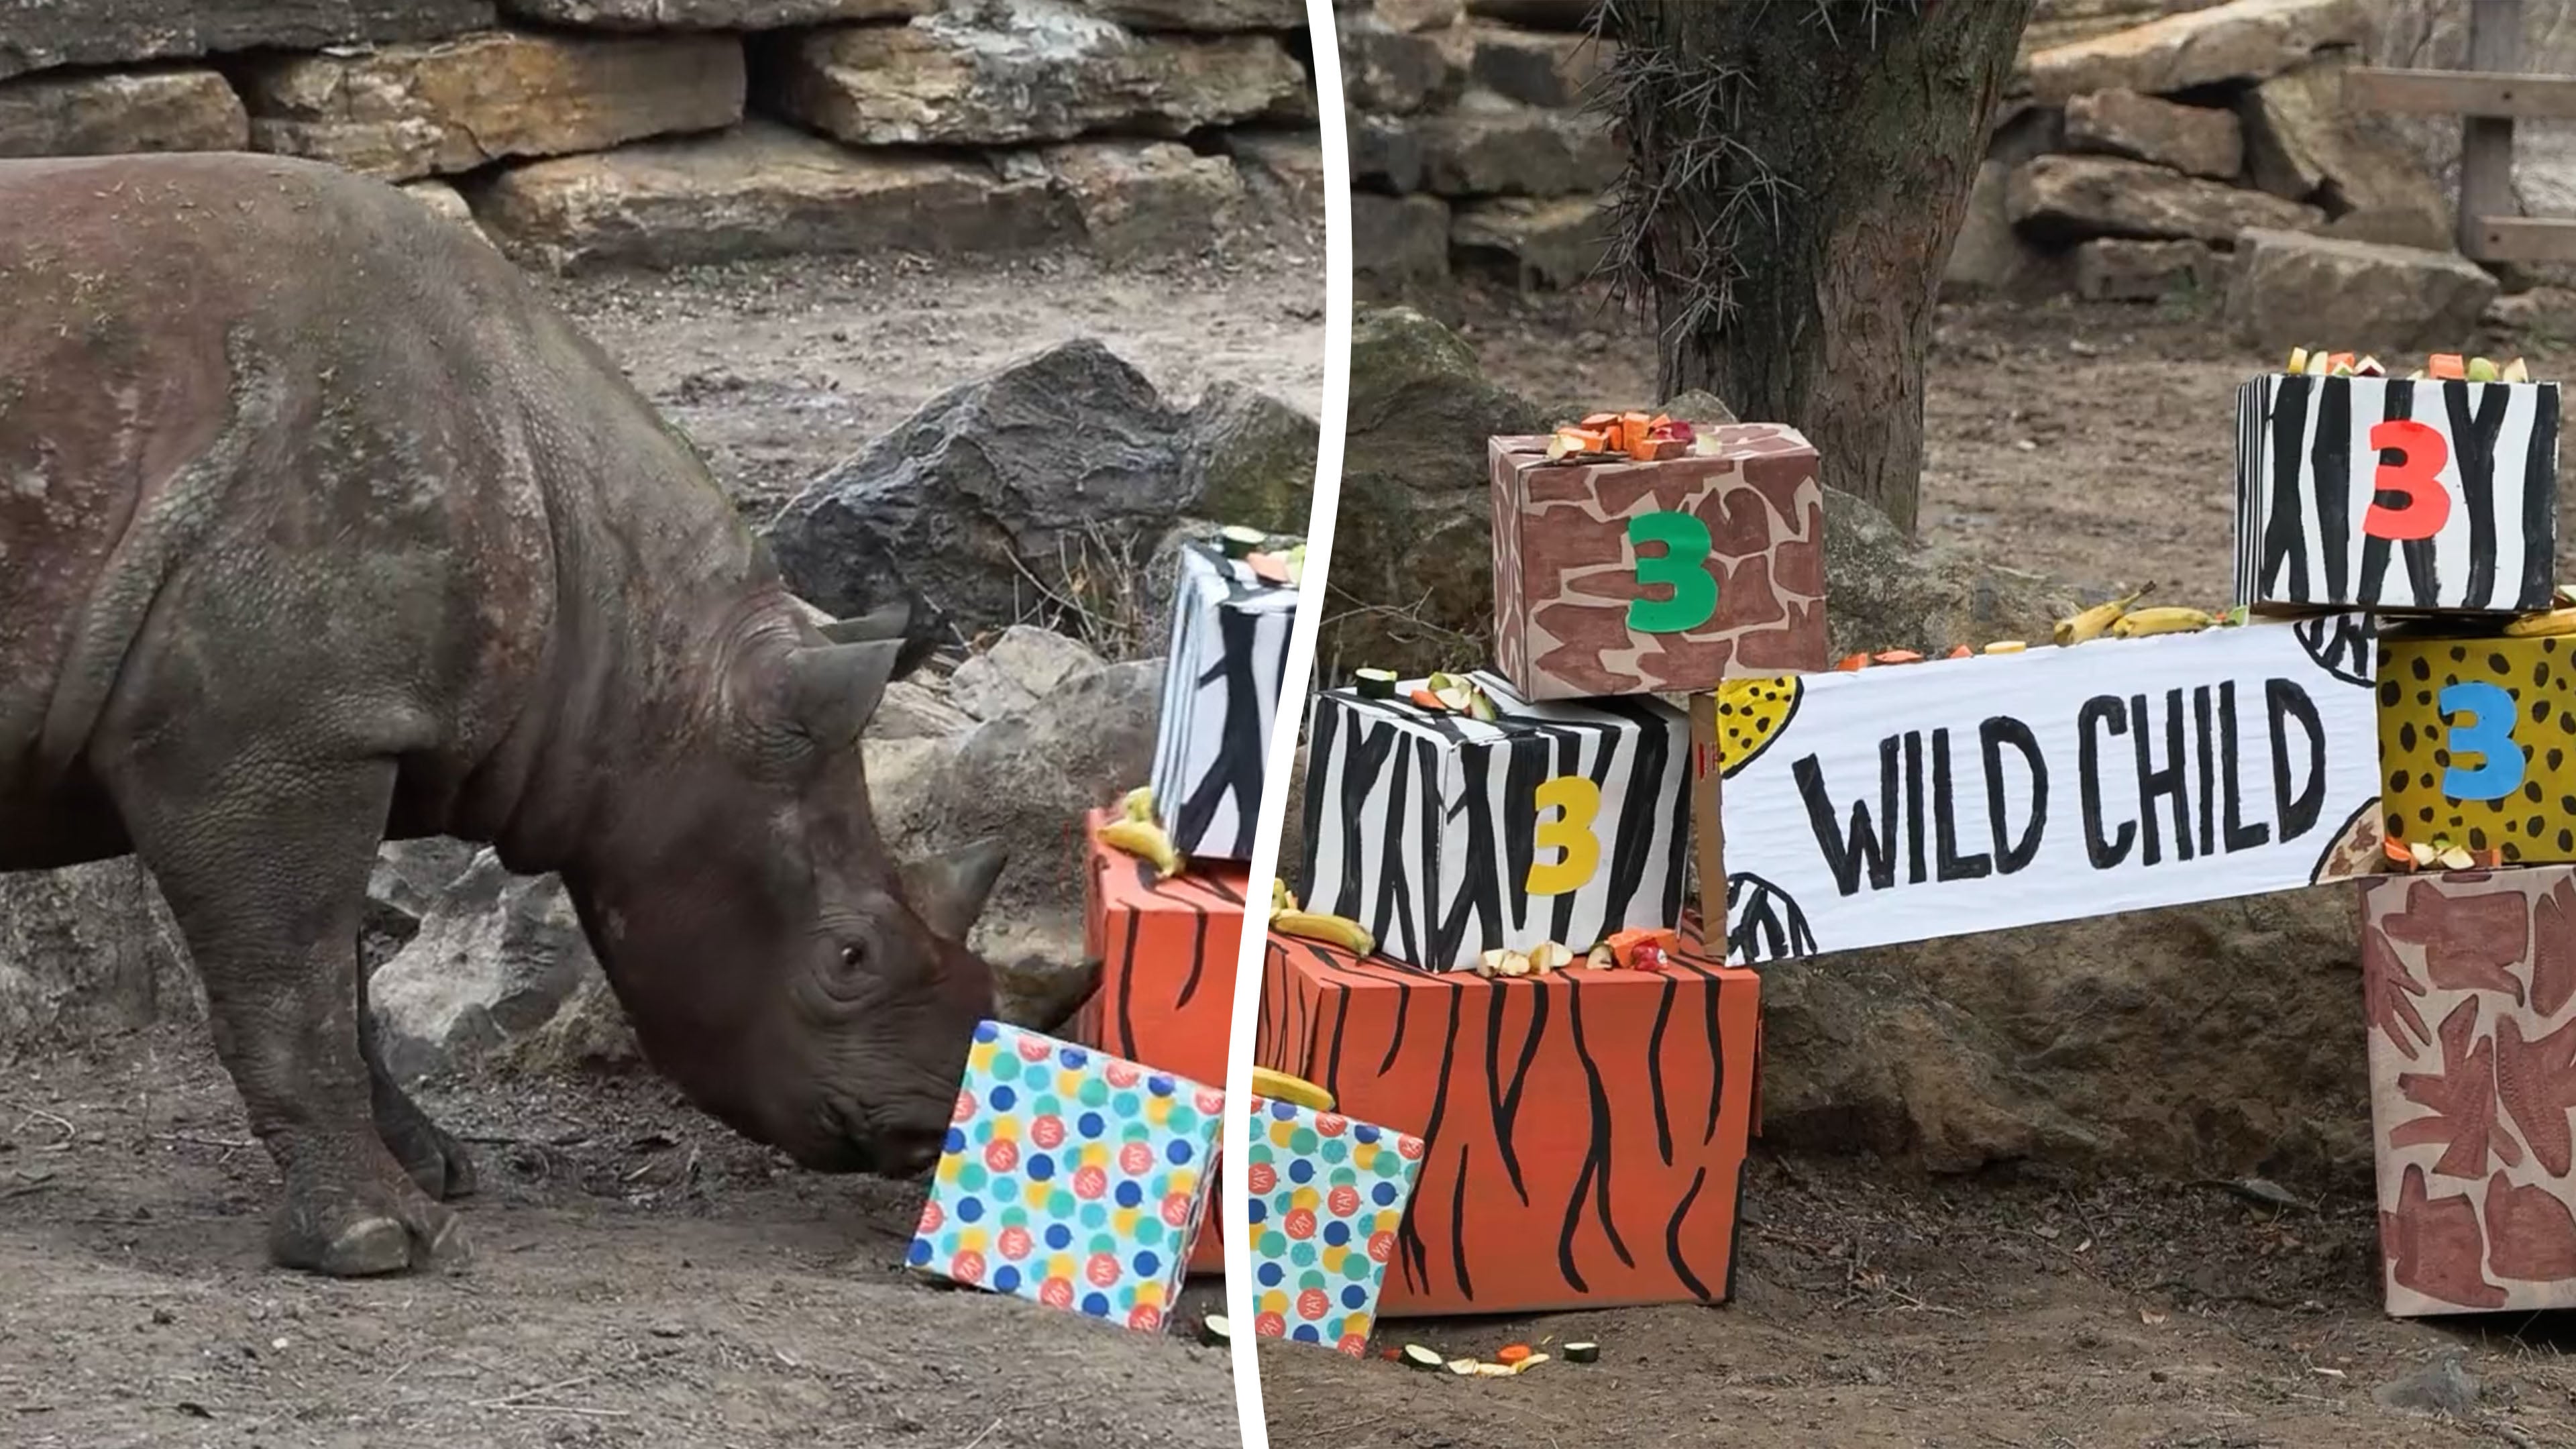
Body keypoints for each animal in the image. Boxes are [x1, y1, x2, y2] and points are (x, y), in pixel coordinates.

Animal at [0, 153, 1014, 1277]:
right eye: (848, 958)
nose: (932, 1130)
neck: (638, 648)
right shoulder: (265, 741)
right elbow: (295, 990)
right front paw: (376, 1241)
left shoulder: (332, 728)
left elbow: (343, 980)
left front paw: (436, 1170)